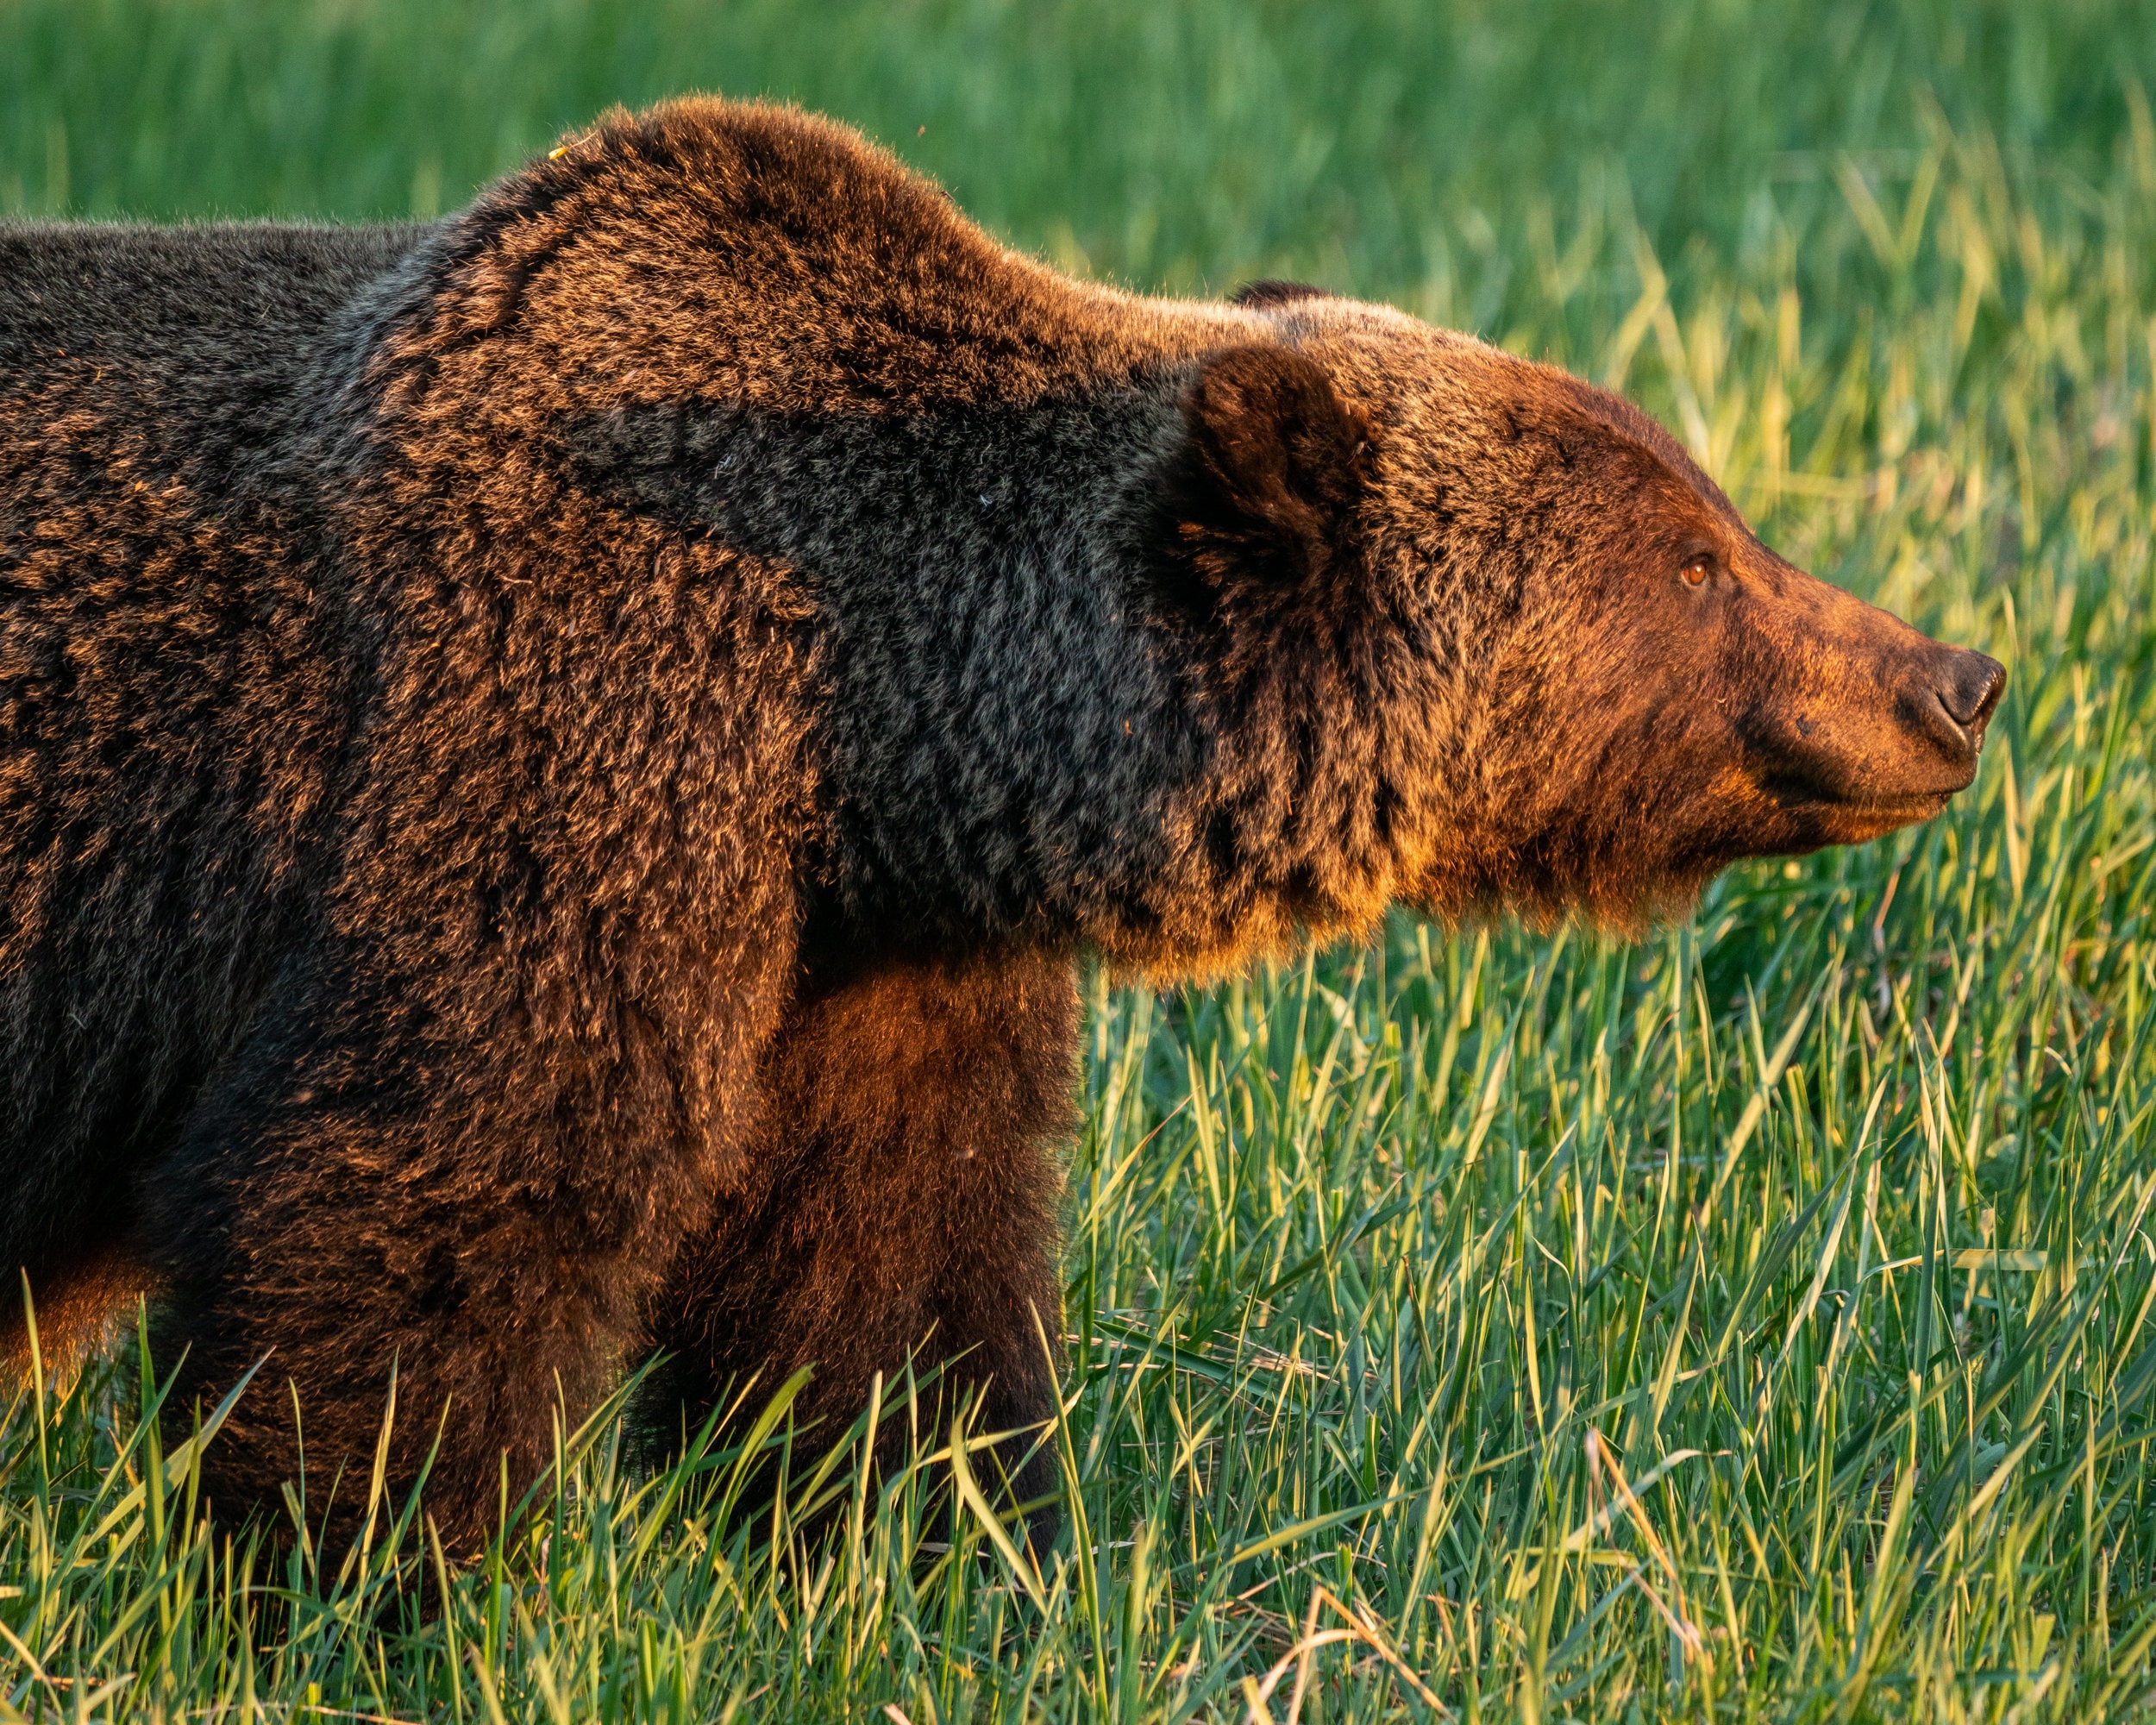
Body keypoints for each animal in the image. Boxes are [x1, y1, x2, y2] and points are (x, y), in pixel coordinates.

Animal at [0, 98, 2003, 1553]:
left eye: (1712, 509)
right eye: (1693, 558)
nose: (1955, 678)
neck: (868, 725)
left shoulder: (874, 964)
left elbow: (888, 1276)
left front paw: (938, 1542)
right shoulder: (546, 760)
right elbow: (426, 1181)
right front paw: (368, 1573)